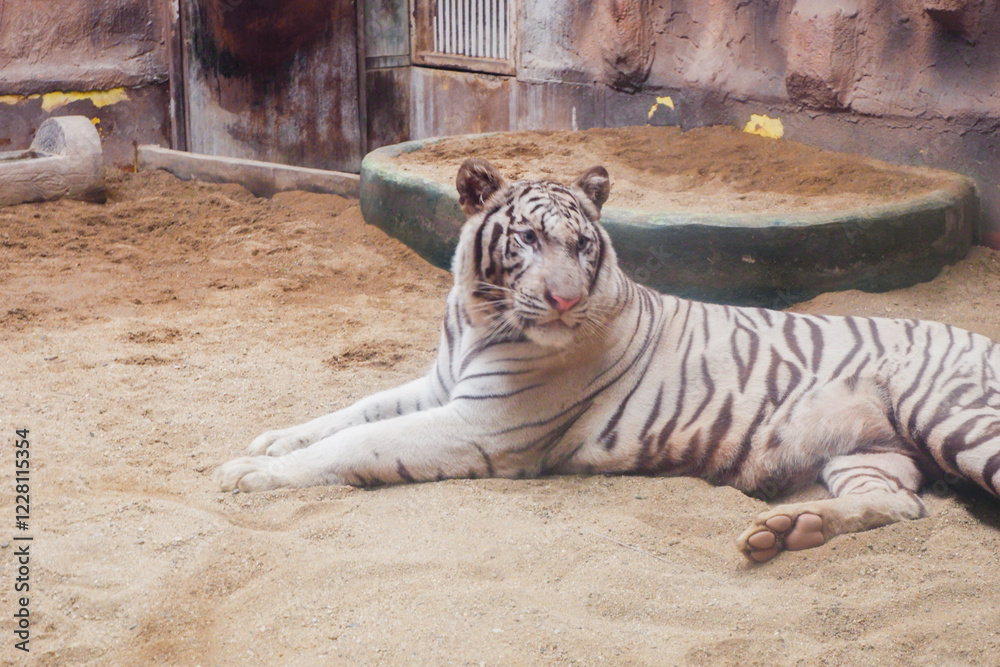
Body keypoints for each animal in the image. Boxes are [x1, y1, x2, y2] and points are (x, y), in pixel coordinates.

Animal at [217, 158, 1000, 562]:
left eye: (583, 245)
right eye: (527, 239)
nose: (564, 300)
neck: (476, 318)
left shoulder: (481, 423)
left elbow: (362, 440)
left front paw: (251, 474)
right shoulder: (443, 385)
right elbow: (351, 410)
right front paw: (266, 442)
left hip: (952, 415)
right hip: (868, 454)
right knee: (901, 503)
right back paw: (785, 531)